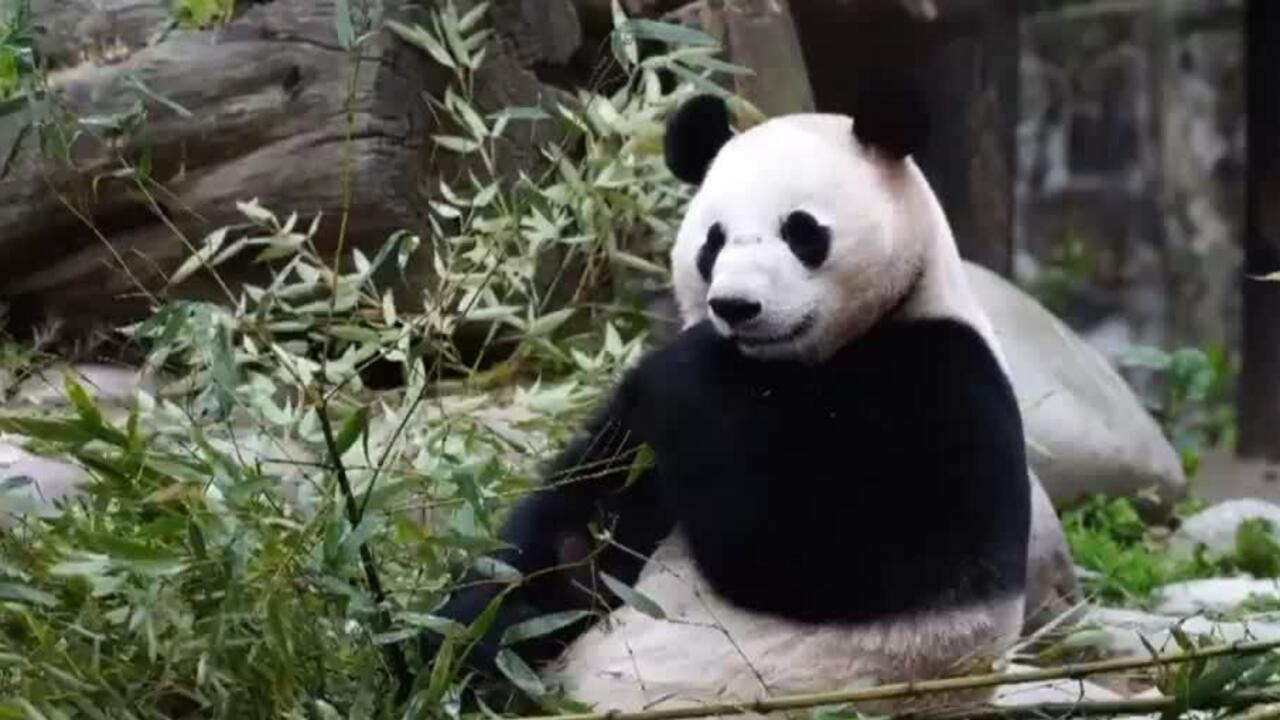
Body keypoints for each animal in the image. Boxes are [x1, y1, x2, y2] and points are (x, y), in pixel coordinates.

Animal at [424, 92, 1031, 715]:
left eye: (802, 231)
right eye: (713, 241)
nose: (736, 306)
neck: (779, 367)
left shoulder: (941, 380)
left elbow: (825, 545)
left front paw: (689, 361)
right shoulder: (641, 451)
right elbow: (571, 535)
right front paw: (458, 641)